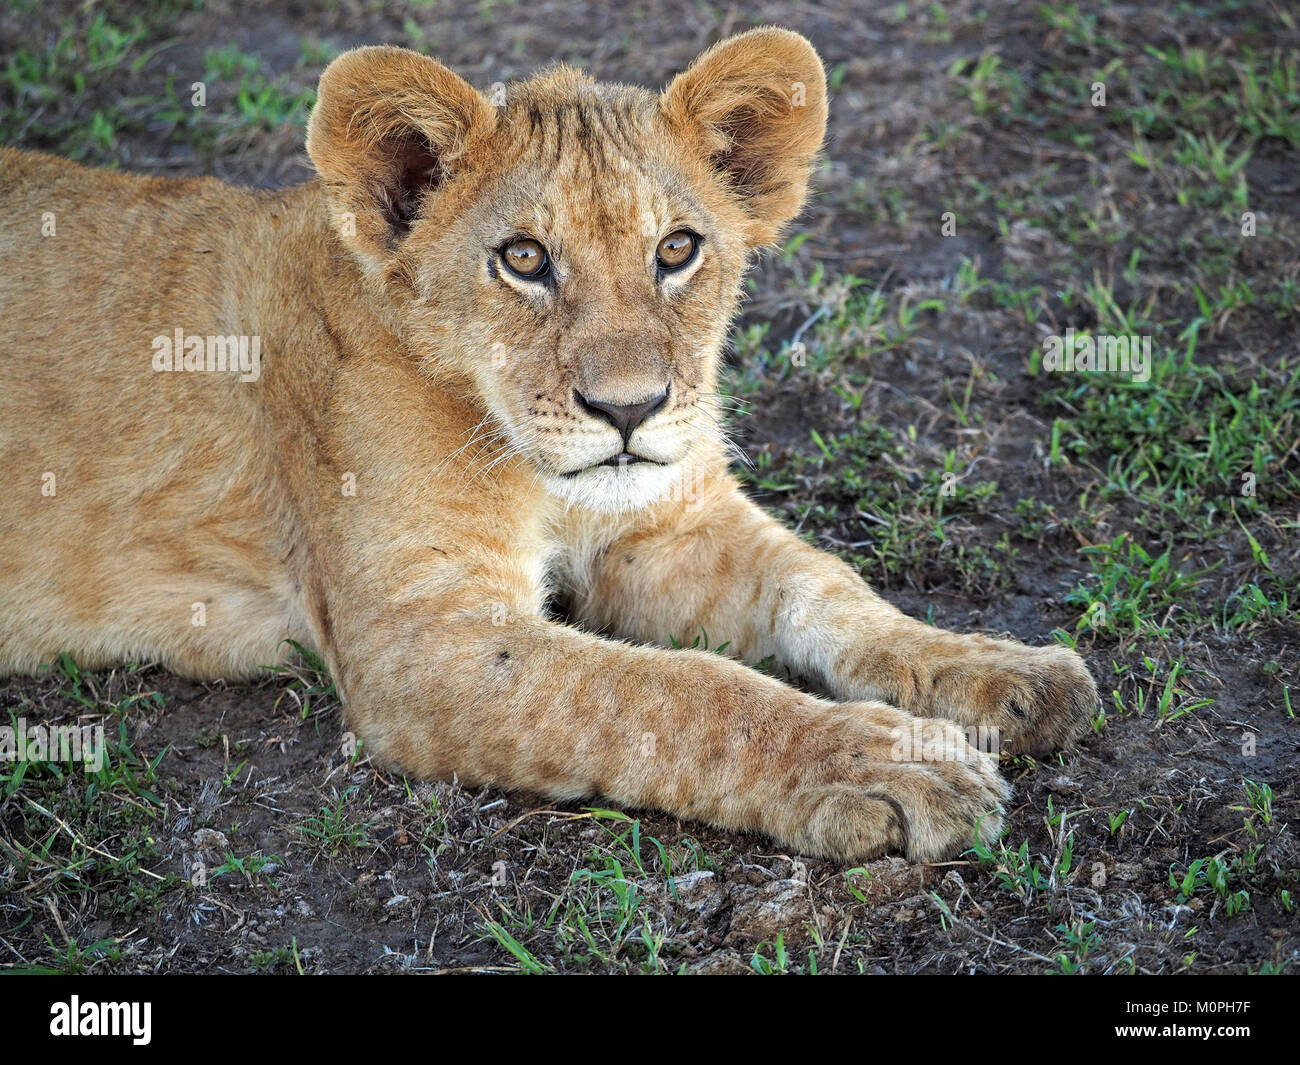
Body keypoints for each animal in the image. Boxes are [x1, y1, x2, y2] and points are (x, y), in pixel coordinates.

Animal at [0, 28, 1096, 861]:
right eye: (523, 259)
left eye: (676, 249)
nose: (630, 410)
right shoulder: (418, 640)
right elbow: (670, 690)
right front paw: (891, 763)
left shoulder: (664, 528)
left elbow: (824, 584)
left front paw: (1000, 672)